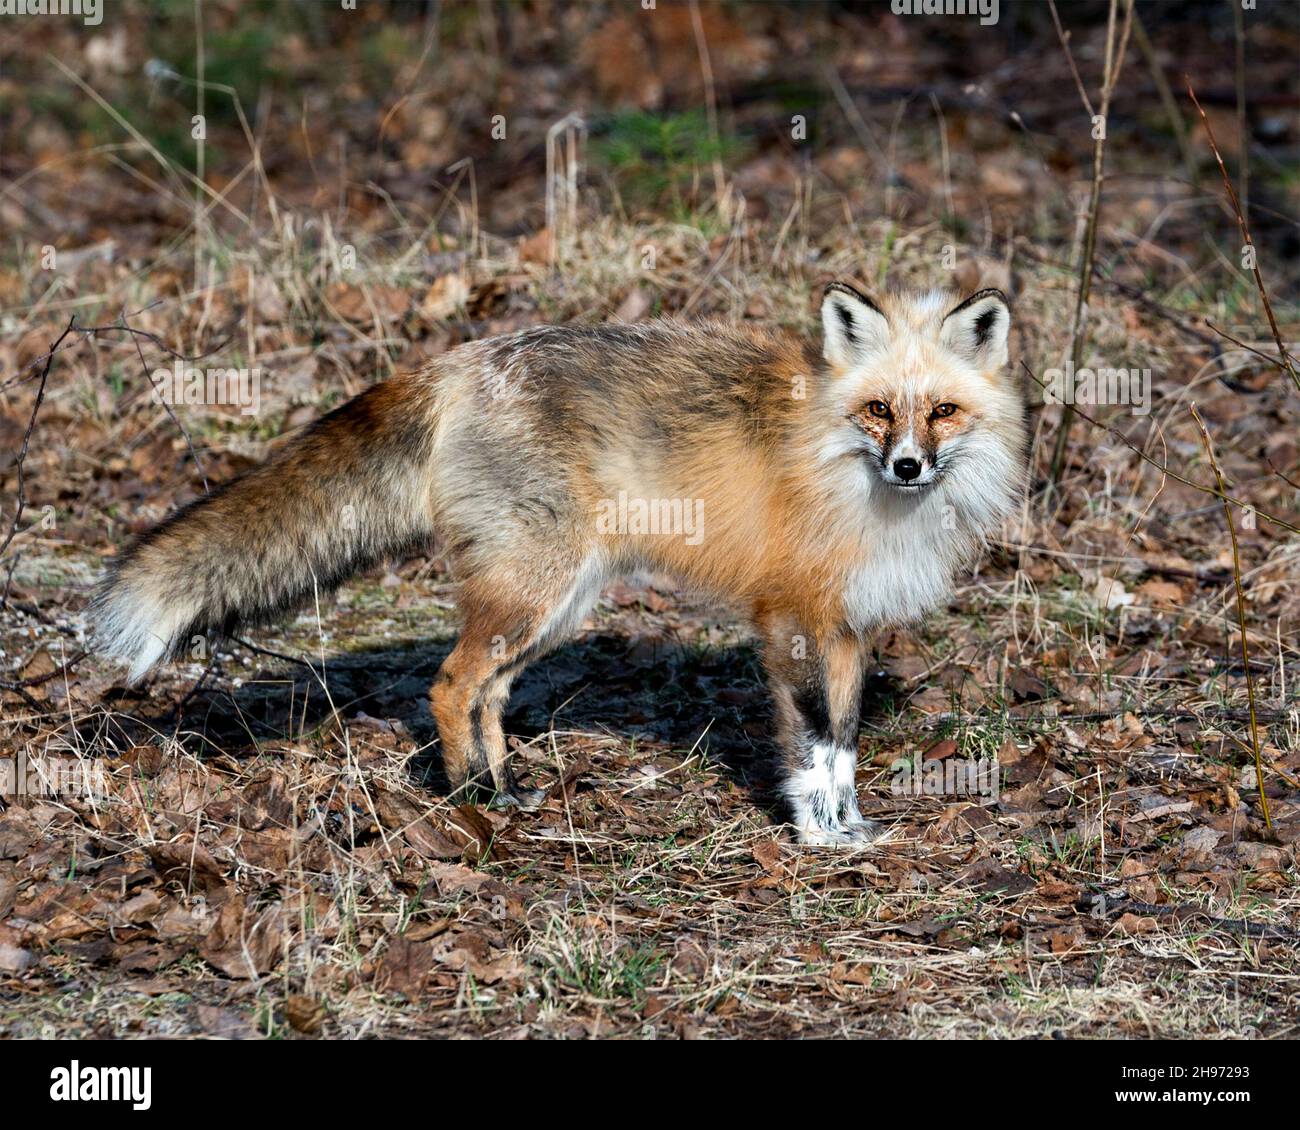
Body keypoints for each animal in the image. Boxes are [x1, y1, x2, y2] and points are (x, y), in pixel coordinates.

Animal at [90, 283, 1028, 845]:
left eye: (942, 412)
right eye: (878, 410)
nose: (907, 466)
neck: (848, 479)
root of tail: (457, 362)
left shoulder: (845, 630)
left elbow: (844, 743)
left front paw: (848, 827)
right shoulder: (790, 619)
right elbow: (812, 744)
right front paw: (815, 836)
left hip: (556, 604)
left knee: (488, 692)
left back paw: (502, 790)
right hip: (535, 590)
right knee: (449, 683)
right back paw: (472, 801)